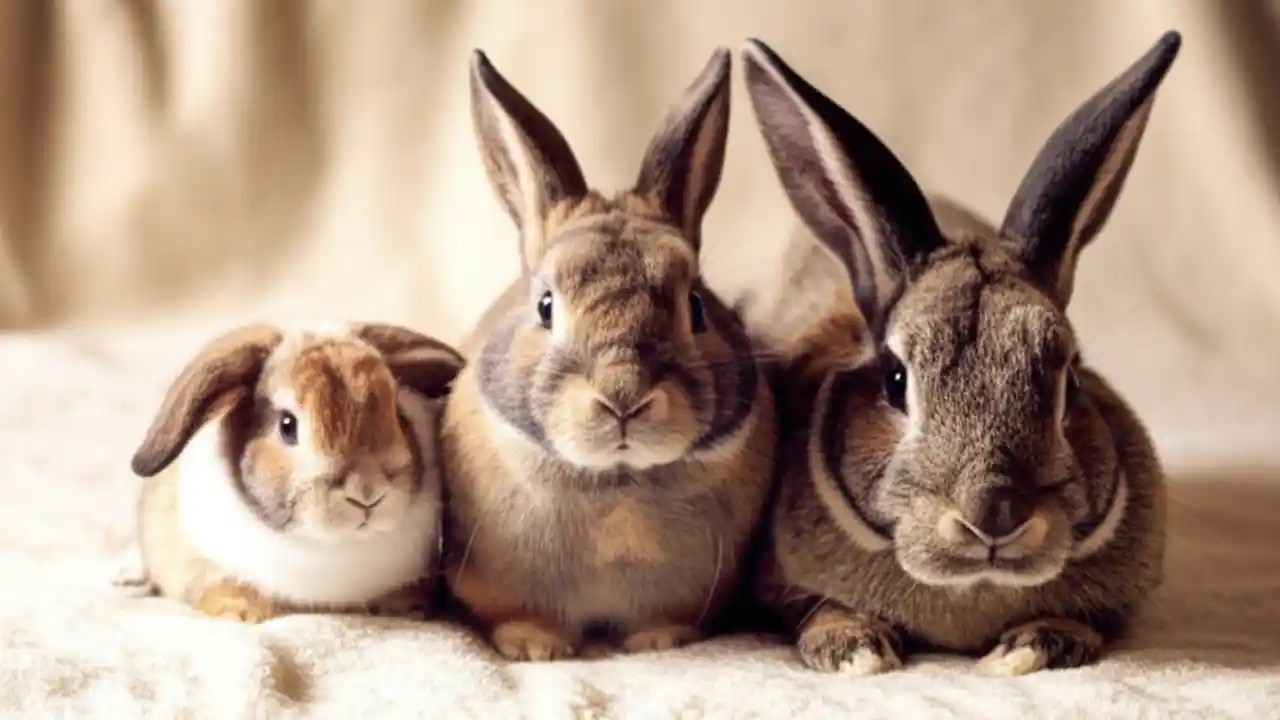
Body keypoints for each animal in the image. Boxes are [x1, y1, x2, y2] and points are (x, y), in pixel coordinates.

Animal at [440, 48, 777, 661]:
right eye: (546, 305)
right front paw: (536, 647)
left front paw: (659, 642)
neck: (618, 480)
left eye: (695, 307)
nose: (624, 397)